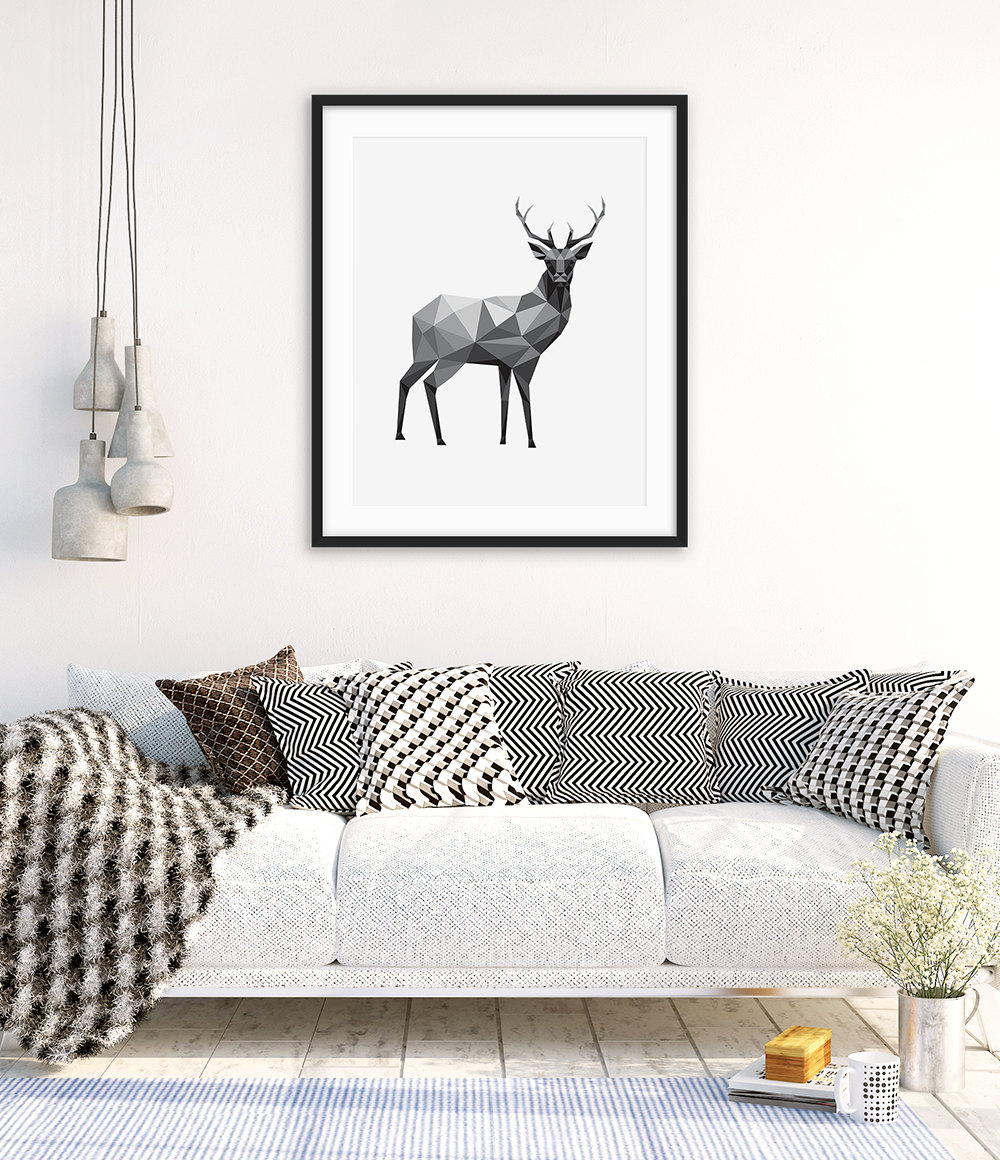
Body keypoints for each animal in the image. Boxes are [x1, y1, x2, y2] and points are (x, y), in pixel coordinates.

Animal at [395, 197, 606, 448]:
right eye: (548, 260)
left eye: (572, 260)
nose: (560, 277)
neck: (539, 317)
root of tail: (416, 316)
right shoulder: (526, 359)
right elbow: (525, 397)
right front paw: (531, 442)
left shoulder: (503, 363)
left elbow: (504, 398)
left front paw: (503, 440)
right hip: (451, 357)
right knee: (429, 384)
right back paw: (439, 439)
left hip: (422, 354)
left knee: (405, 380)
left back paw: (400, 434)